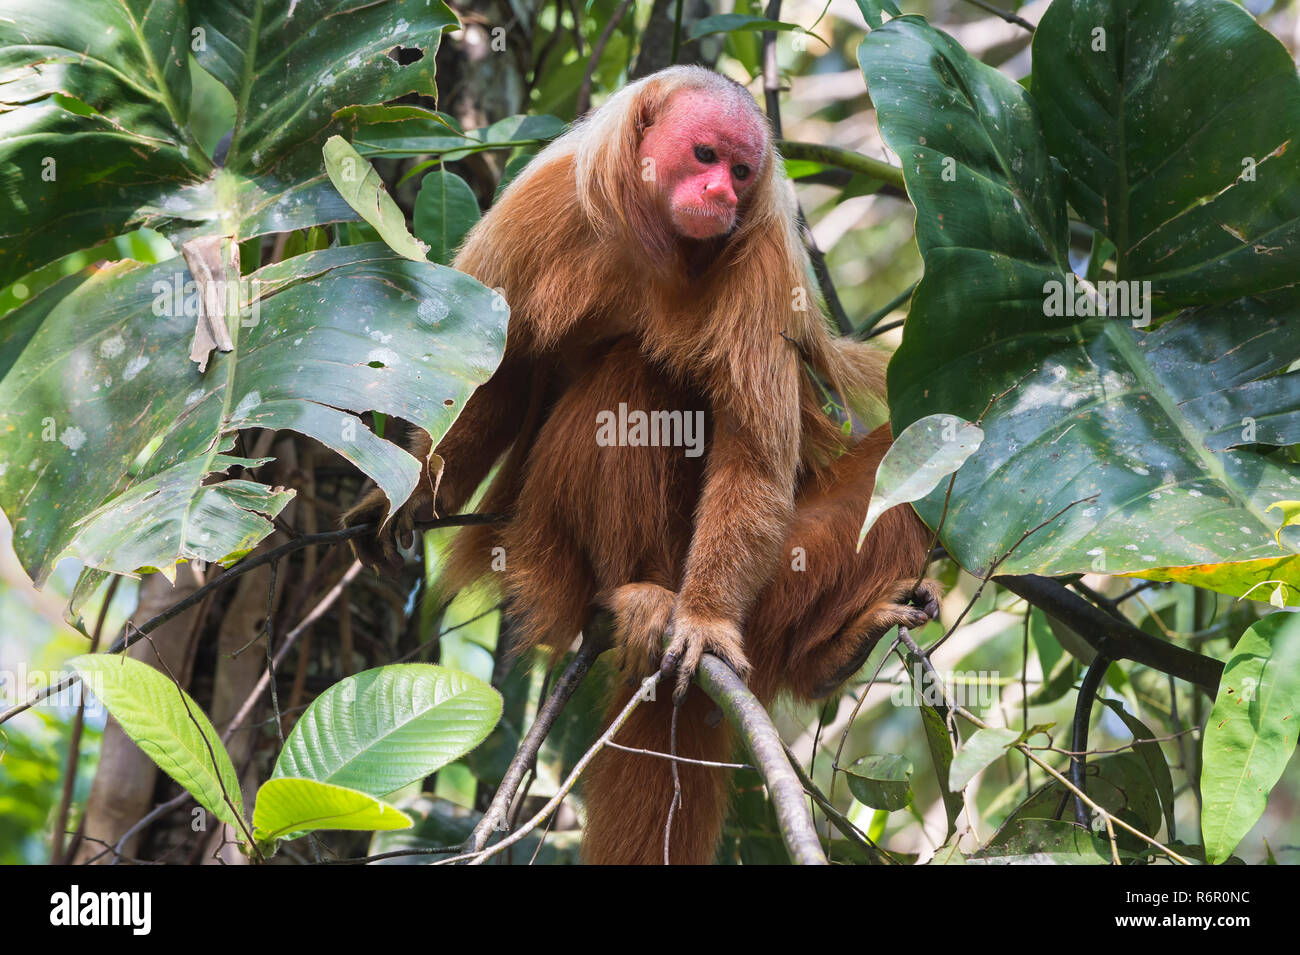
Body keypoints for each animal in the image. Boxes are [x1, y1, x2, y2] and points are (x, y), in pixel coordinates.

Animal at [343, 66, 939, 864]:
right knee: (636, 378)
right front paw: (408, 498)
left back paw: (825, 653)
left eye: (741, 171)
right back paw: (641, 597)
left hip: (770, 577)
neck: (656, 241)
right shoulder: (540, 205)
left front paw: (708, 622)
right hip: (547, 541)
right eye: (705, 155)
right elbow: (497, 376)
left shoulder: (764, 256)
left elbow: (754, 458)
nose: (721, 194)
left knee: (939, 440)